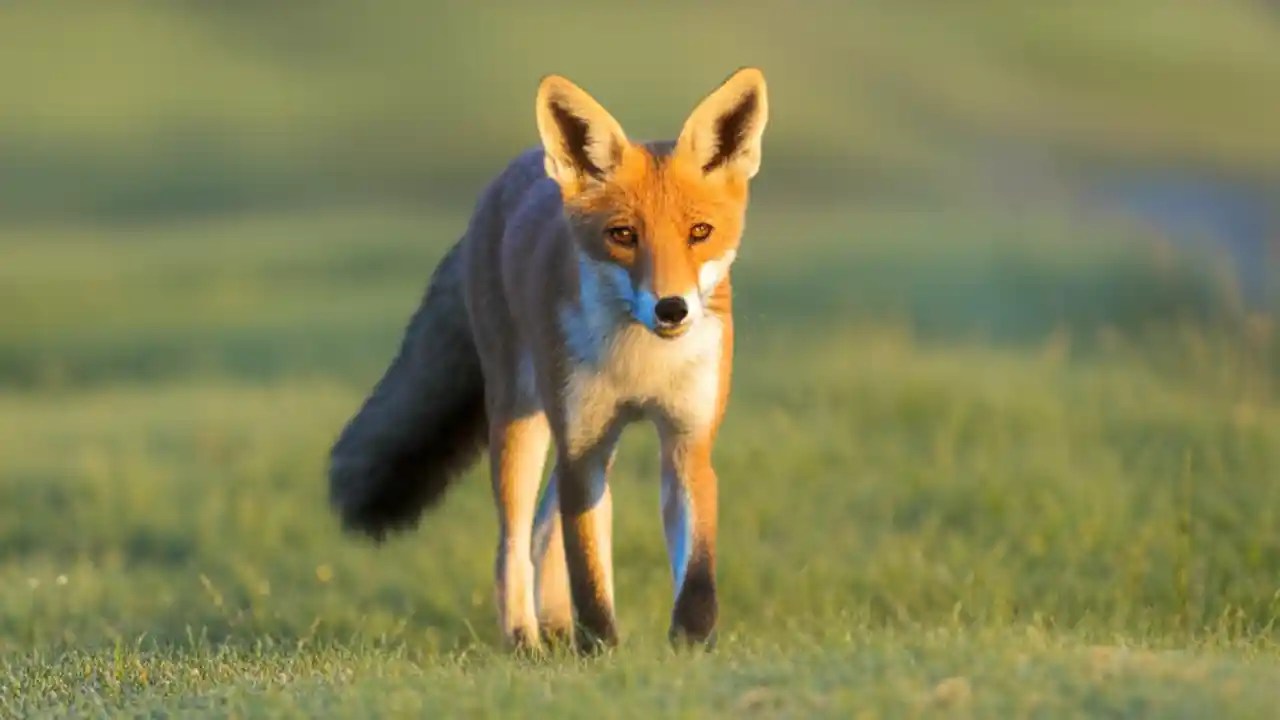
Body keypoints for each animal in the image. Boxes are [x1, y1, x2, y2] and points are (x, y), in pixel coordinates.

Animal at [327, 67, 769, 652]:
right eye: (623, 235)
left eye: (700, 233)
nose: (671, 308)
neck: (640, 362)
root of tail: (515, 170)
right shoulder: (582, 446)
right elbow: (590, 572)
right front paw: (602, 651)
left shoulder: (686, 441)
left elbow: (696, 573)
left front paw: (690, 647)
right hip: (525, 422)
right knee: (512, 541)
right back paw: (526, 640)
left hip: (583, 437)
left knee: (542, 527)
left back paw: (555, 624)